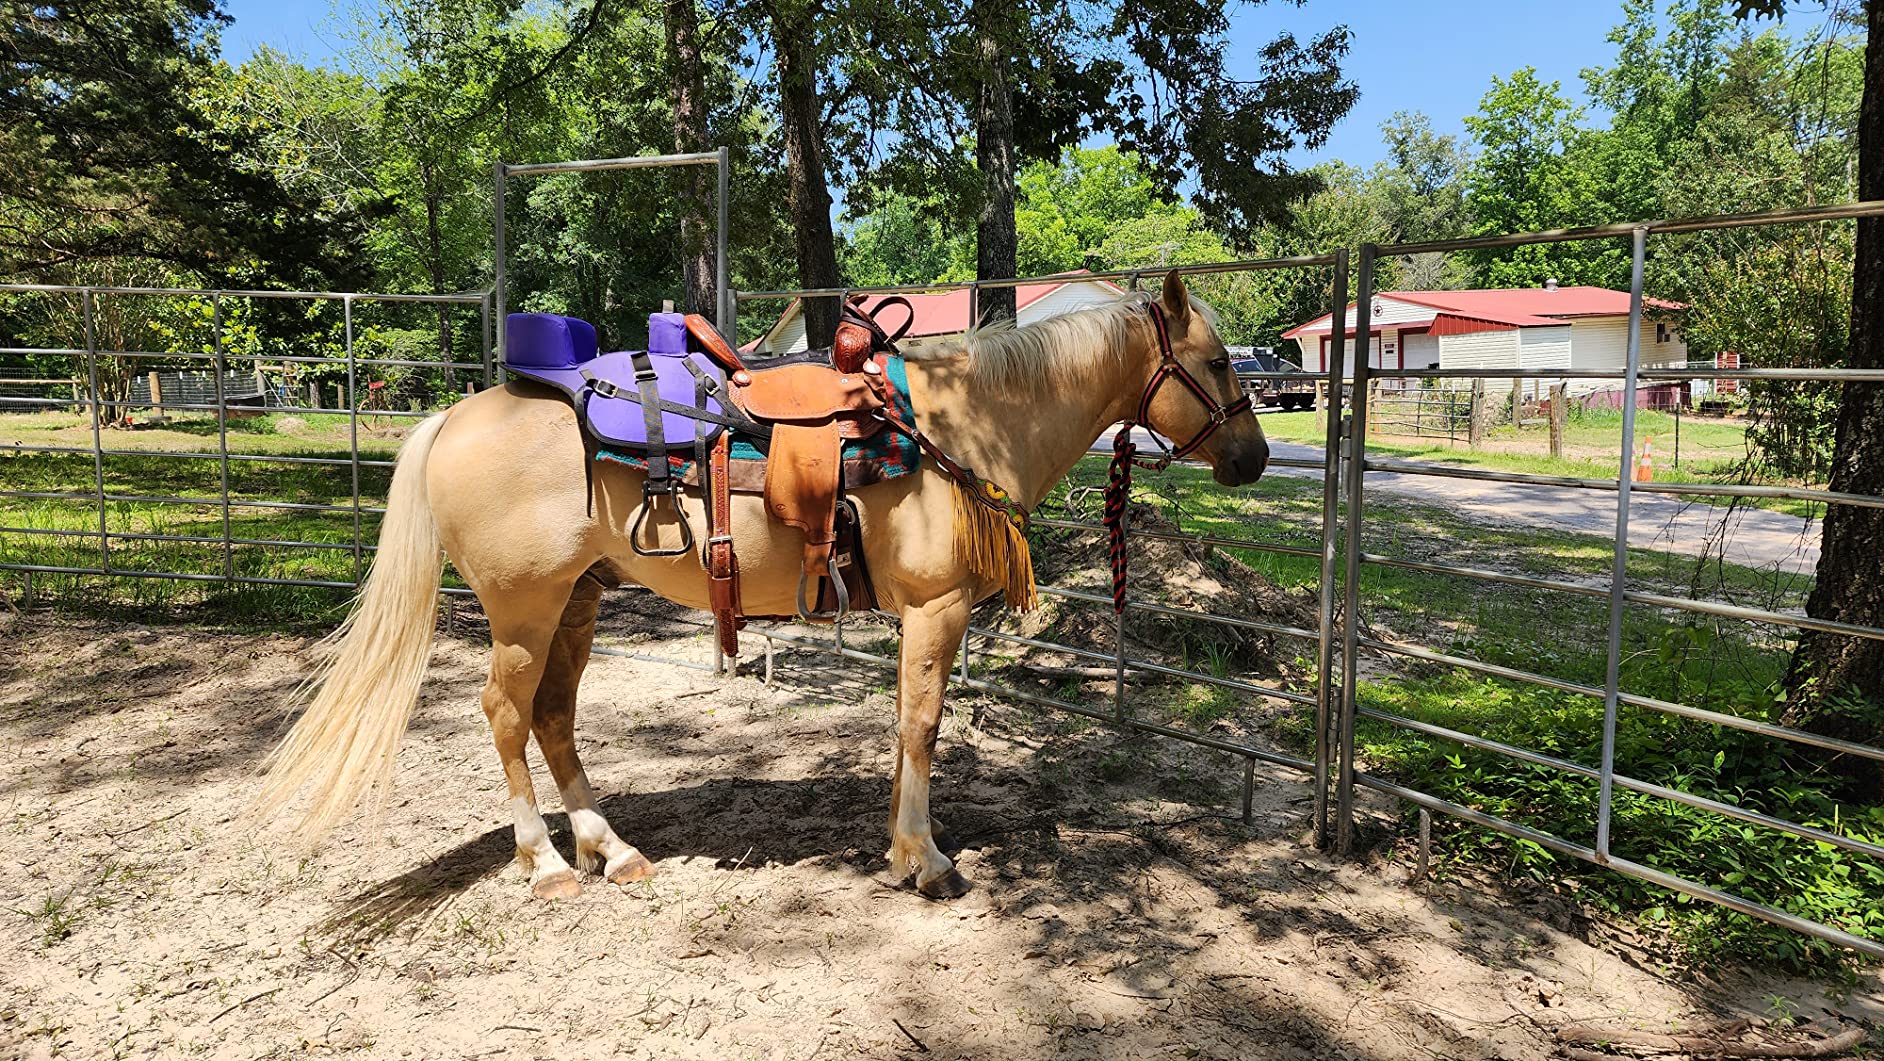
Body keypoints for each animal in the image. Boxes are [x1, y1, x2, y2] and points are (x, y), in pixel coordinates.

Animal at [255, 272, 1269, 901]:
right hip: (524, 609)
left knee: (552, 714)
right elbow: (923, 726)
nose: (1256, 457)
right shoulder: (935, 609)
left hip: (578, 599)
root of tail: (459, 412)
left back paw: (612, 848)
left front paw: (898, 845)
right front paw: (924, 858)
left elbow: (906, 725)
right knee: (506, 715)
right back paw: (546, 863)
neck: (961, 425)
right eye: (1221, 362)